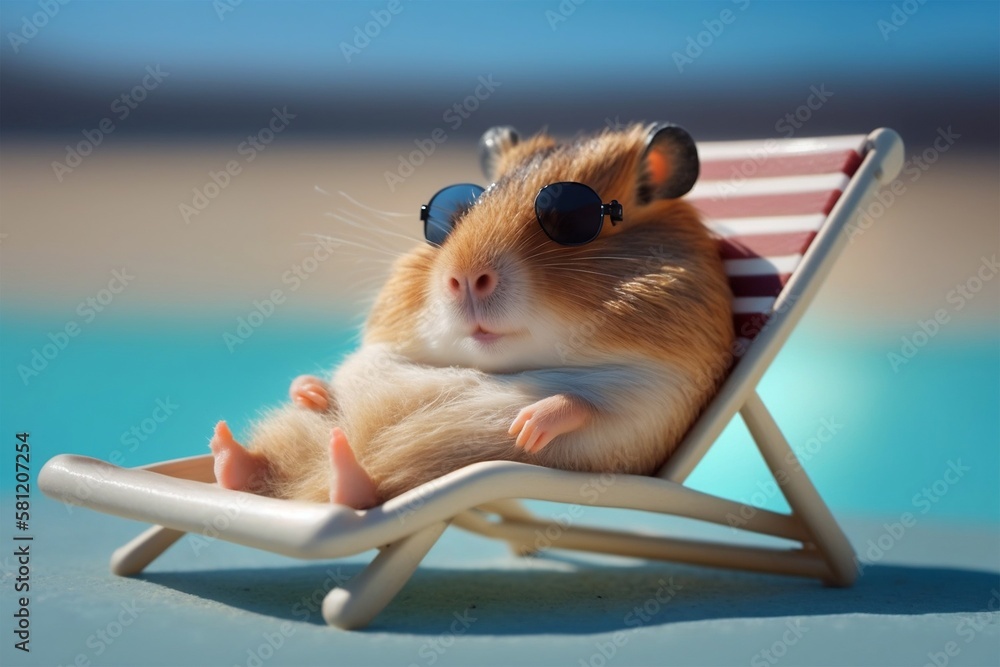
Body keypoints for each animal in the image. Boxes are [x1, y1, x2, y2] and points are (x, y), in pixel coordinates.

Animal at [209, 123, 734, 508]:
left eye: (572, 218)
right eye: (452, 214)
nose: (463, 278)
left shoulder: (657, 397)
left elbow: (582, 402)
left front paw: (525, 427)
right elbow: (335, 379)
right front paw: (312, 391)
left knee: (359, 488)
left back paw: (342, 467)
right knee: (260, 469)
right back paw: (230, 447)